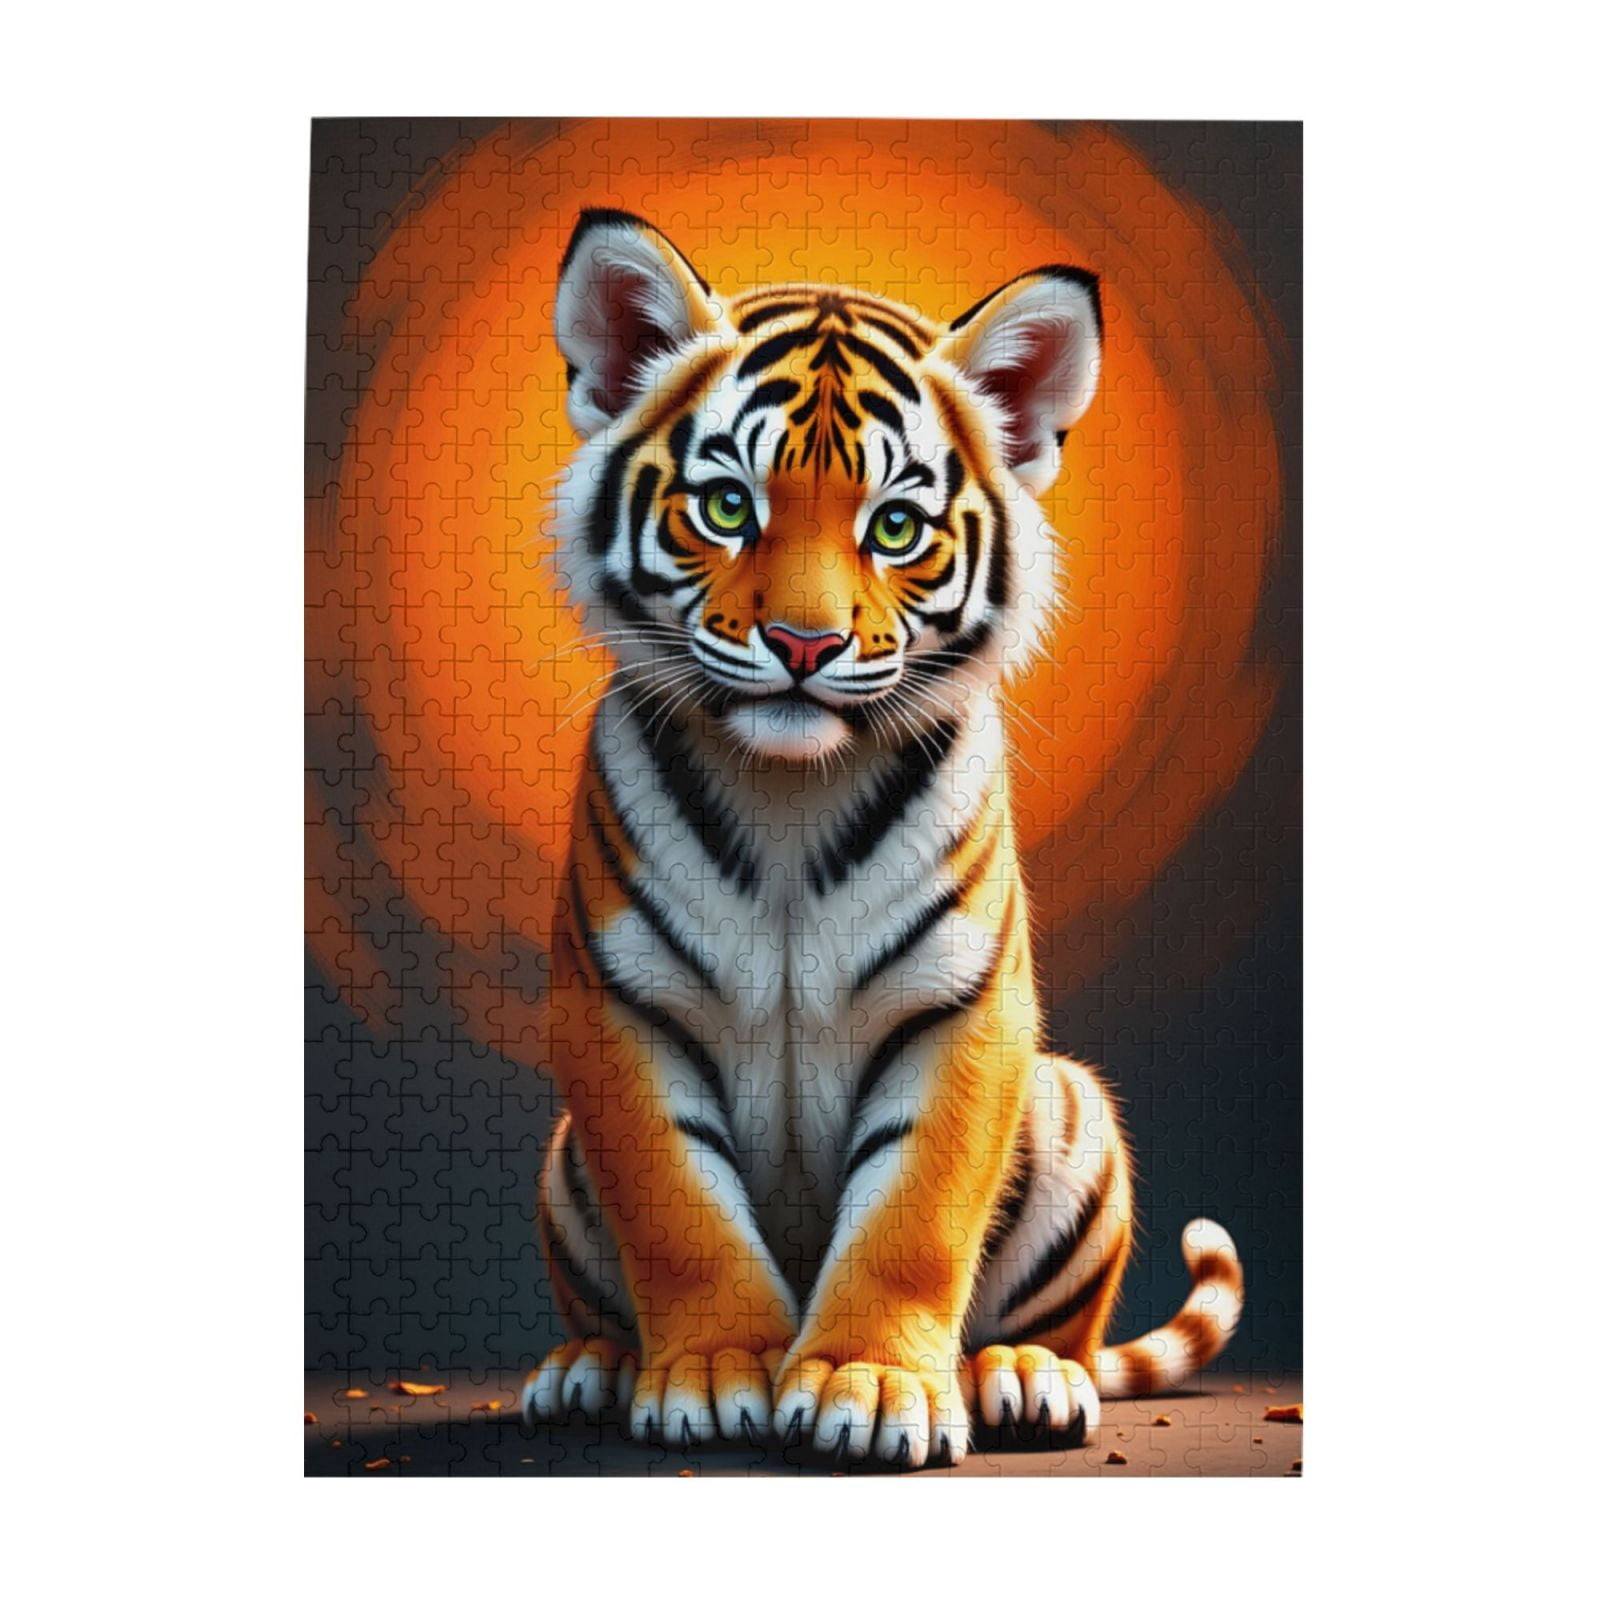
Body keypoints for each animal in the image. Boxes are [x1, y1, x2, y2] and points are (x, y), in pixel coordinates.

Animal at [520, 208, 1244, 1469]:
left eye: (895, 526)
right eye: (727, 508)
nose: (804, 645)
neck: (787, 795)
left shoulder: (960, 1007)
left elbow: (914, 1211)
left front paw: (868, 1387)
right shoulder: (615, 1003)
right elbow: (674, 1202)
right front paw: (713, 1373)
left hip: (1073, 1108)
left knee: (1056, 1326)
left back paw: (1024, 1376)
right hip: (564, 1154)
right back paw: (588, 1368)